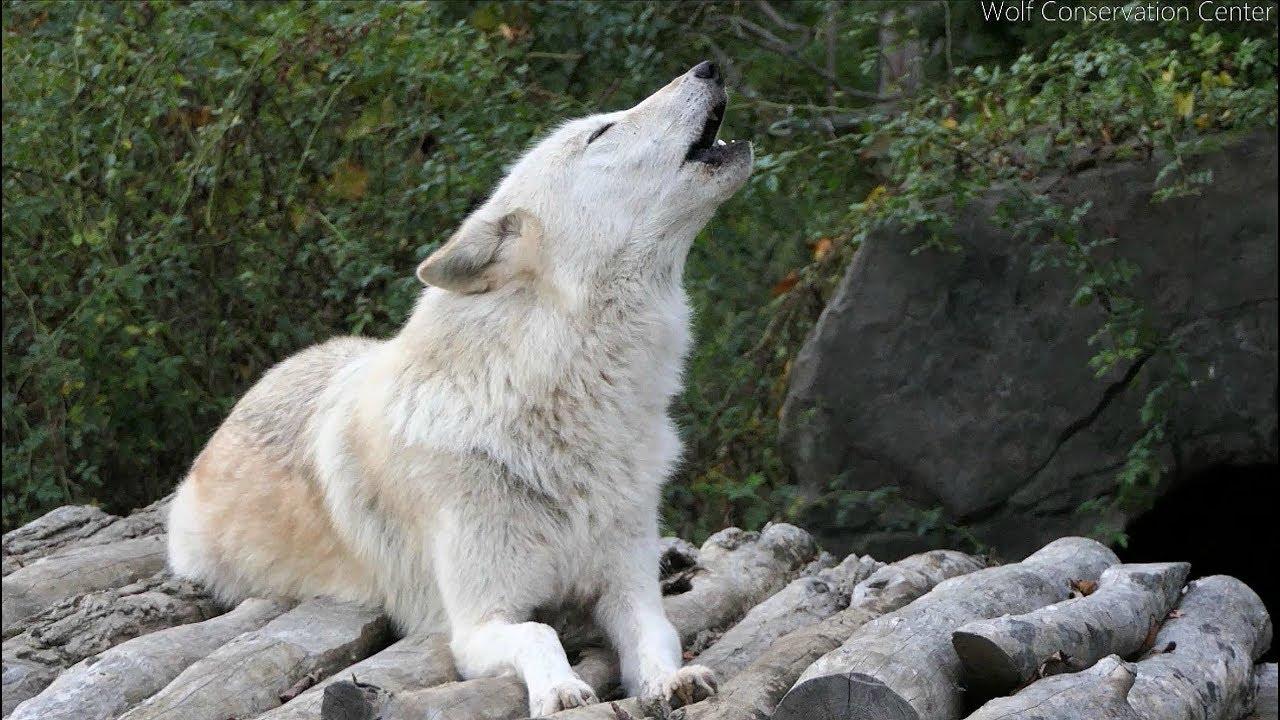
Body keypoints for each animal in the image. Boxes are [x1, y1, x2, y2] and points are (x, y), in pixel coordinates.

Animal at [166, 60, 752, 715]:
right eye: (600, 133)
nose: (709, 67)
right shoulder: (476, 624)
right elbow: (540, 630)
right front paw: (561, 690)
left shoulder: (626, 583)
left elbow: (657, 633)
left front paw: (672, 680)